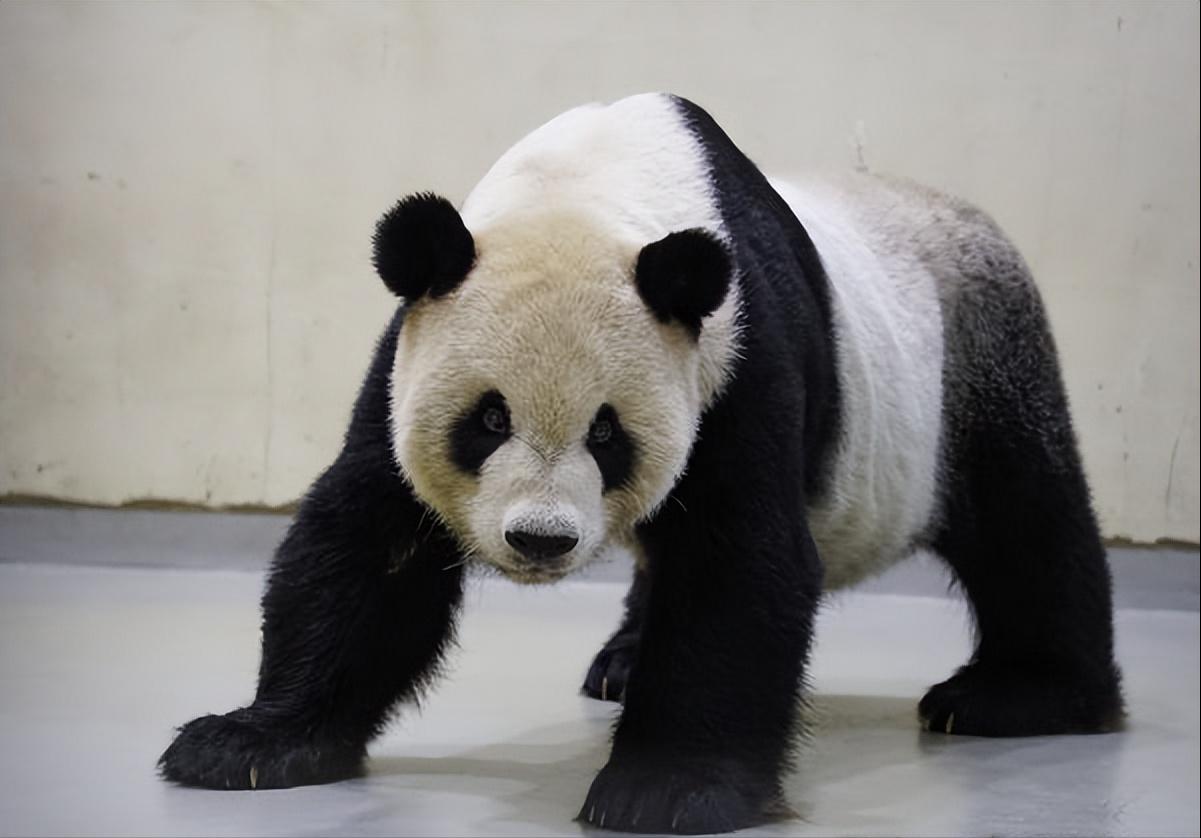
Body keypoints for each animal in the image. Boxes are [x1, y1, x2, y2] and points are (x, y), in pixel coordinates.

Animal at [159, 93, 1124, 834]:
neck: (589, 188)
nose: (539, 541)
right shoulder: (408, 354)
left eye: (606, 433)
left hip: (973, 367)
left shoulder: (733, 361)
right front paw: (250, 741)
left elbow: (741, 562)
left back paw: (1016, 696)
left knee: (1027, 523)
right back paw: (621, 663)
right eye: (487, 419)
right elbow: (367, 546)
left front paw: (667, 788)